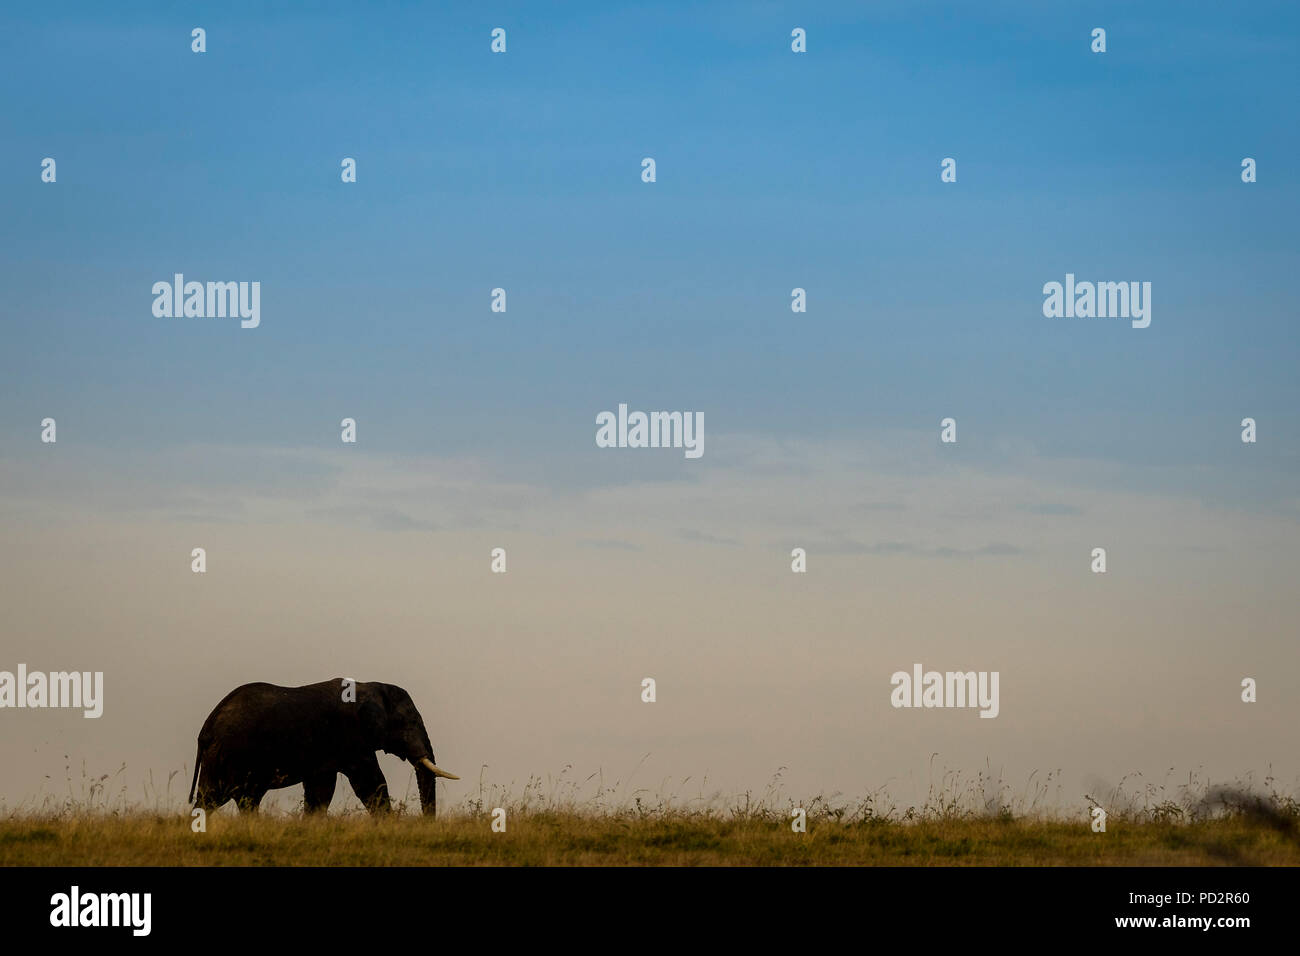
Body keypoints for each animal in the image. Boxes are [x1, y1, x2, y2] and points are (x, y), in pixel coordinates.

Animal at [188, 679, 458, 815]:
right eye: (409, 722)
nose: (427, 824)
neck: (369, 685)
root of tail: (207, 727)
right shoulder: (352, 736)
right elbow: (370, 783)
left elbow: (320, 790)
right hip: (234, 754)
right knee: (237, 797)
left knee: (213, 798)